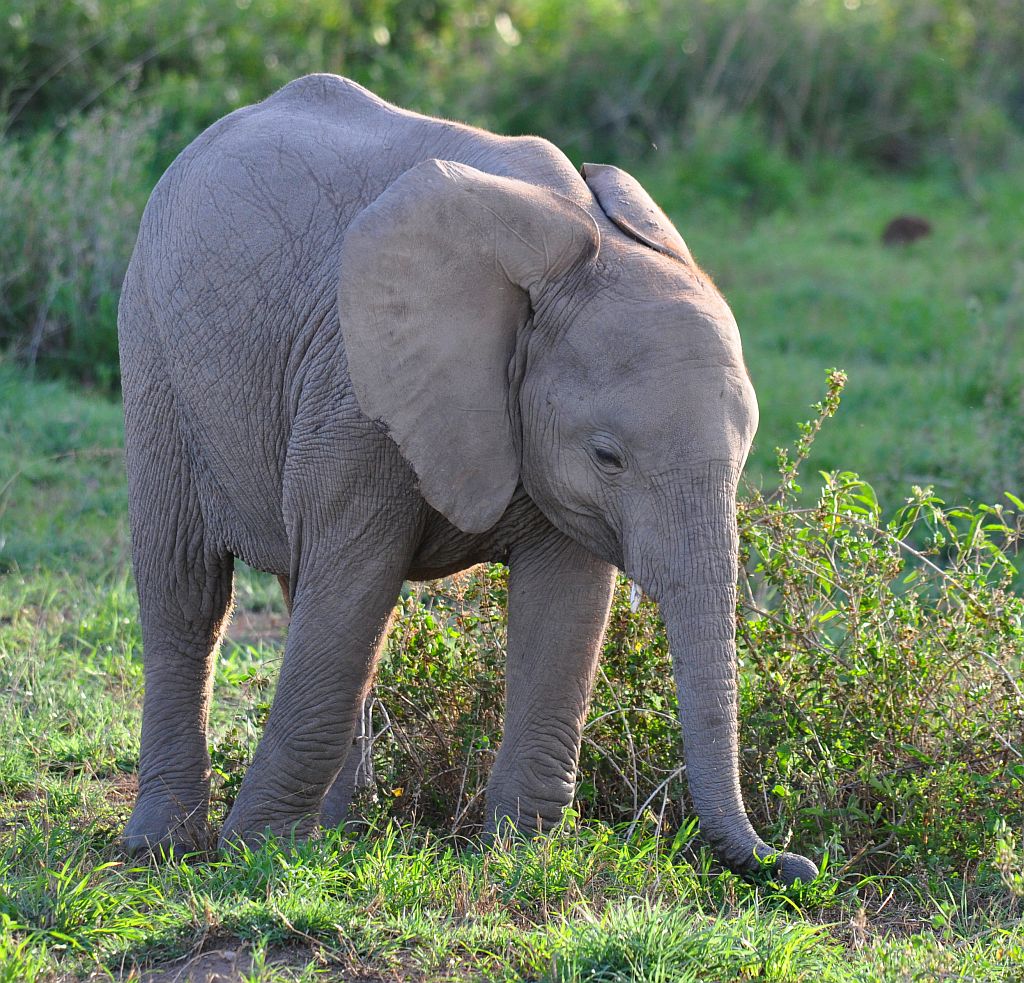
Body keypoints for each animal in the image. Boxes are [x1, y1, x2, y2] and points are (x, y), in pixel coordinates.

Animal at [116, 73, 817, 885]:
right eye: (608, 456)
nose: (798, 864)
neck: (576, 249)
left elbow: (564, 609)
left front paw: (522, 856)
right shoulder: (358, 392)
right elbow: (353, 589)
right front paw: (255, 856)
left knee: (301, 584)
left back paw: (339, 832)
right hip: (153, 349)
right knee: (190, 589)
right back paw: (163, 847)